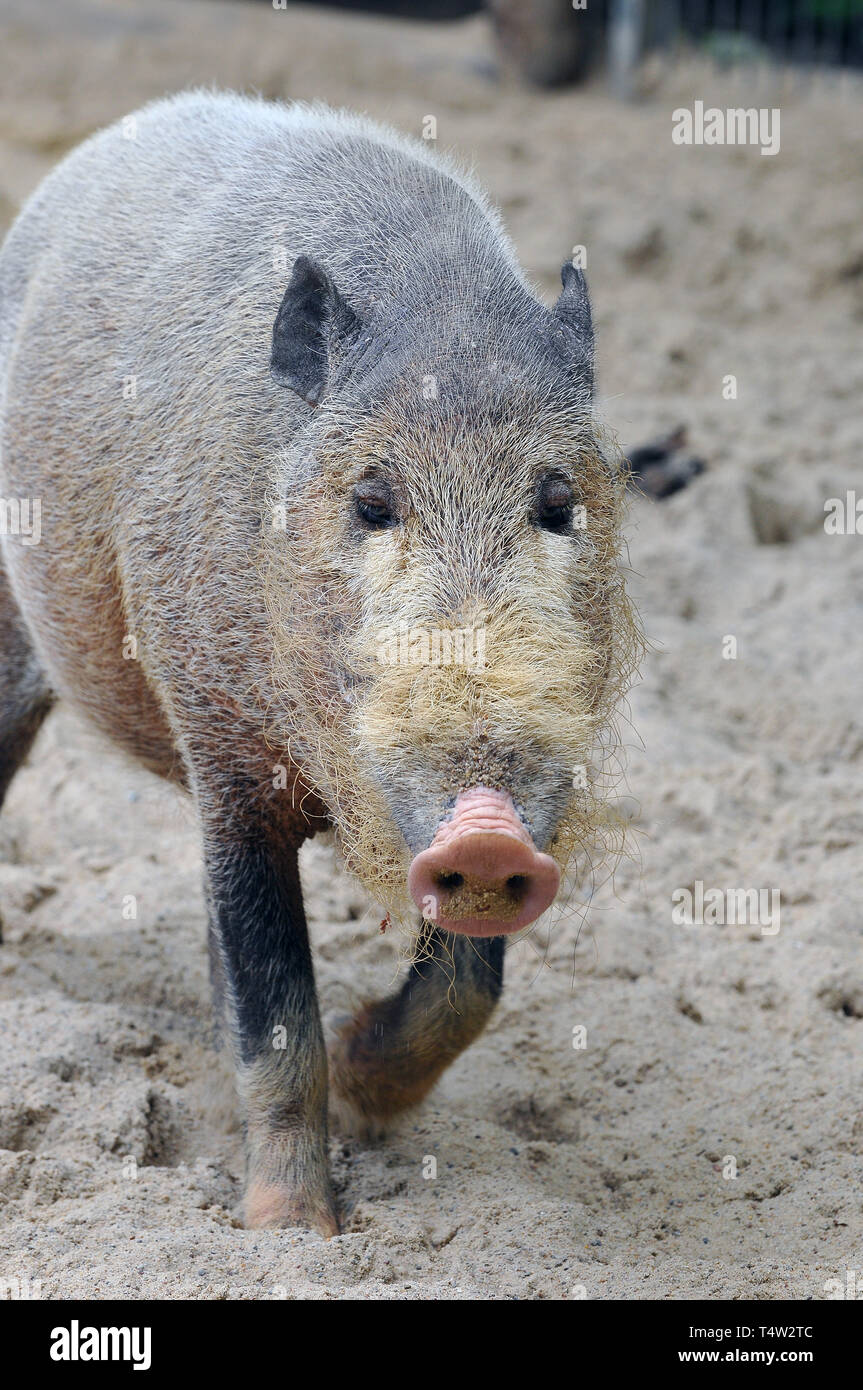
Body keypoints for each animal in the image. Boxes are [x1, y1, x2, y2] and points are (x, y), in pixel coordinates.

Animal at [0, 92, 639, 1234]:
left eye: (558, 502)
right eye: (372, 502)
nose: (483, 831)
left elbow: (466, 987)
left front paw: (367, 1085)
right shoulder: (220, 752)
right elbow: (275, 1012)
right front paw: (292, 1234)